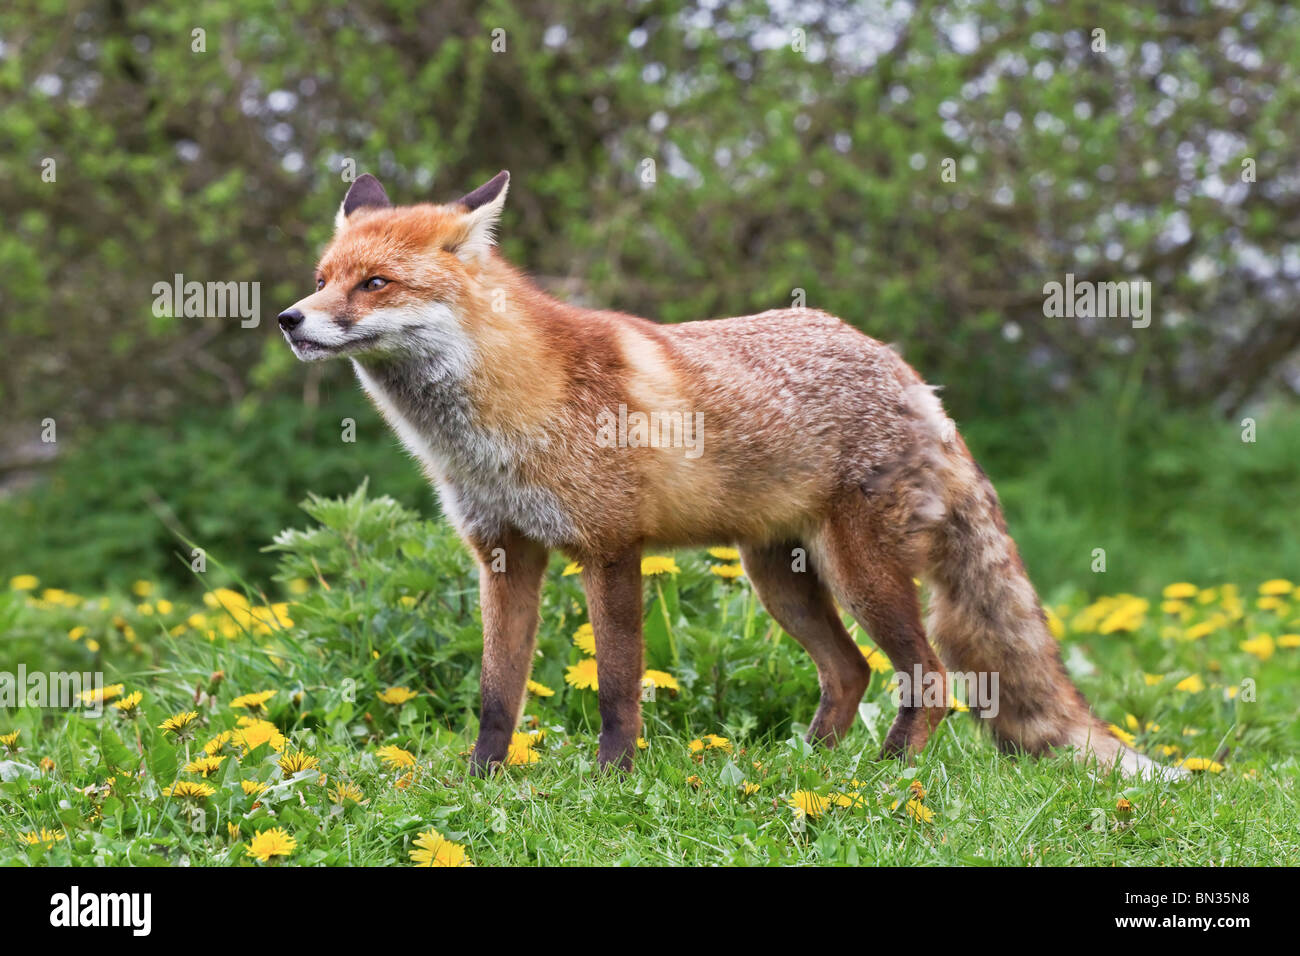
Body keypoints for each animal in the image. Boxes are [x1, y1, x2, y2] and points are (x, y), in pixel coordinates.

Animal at [278, 170, 1175, 780]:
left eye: (375, 283)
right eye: (323, 278)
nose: (289, 319)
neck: (498, 423)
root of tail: (912, 376)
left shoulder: (611, 549)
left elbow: (618, 684)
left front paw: (612, 779)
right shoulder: (503, 554)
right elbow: (498, 693)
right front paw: (481, 781)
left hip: (862, 573)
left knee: (932, 677)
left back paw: (886, 774)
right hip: (777, 575)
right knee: (850, 672)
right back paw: (807, 767)